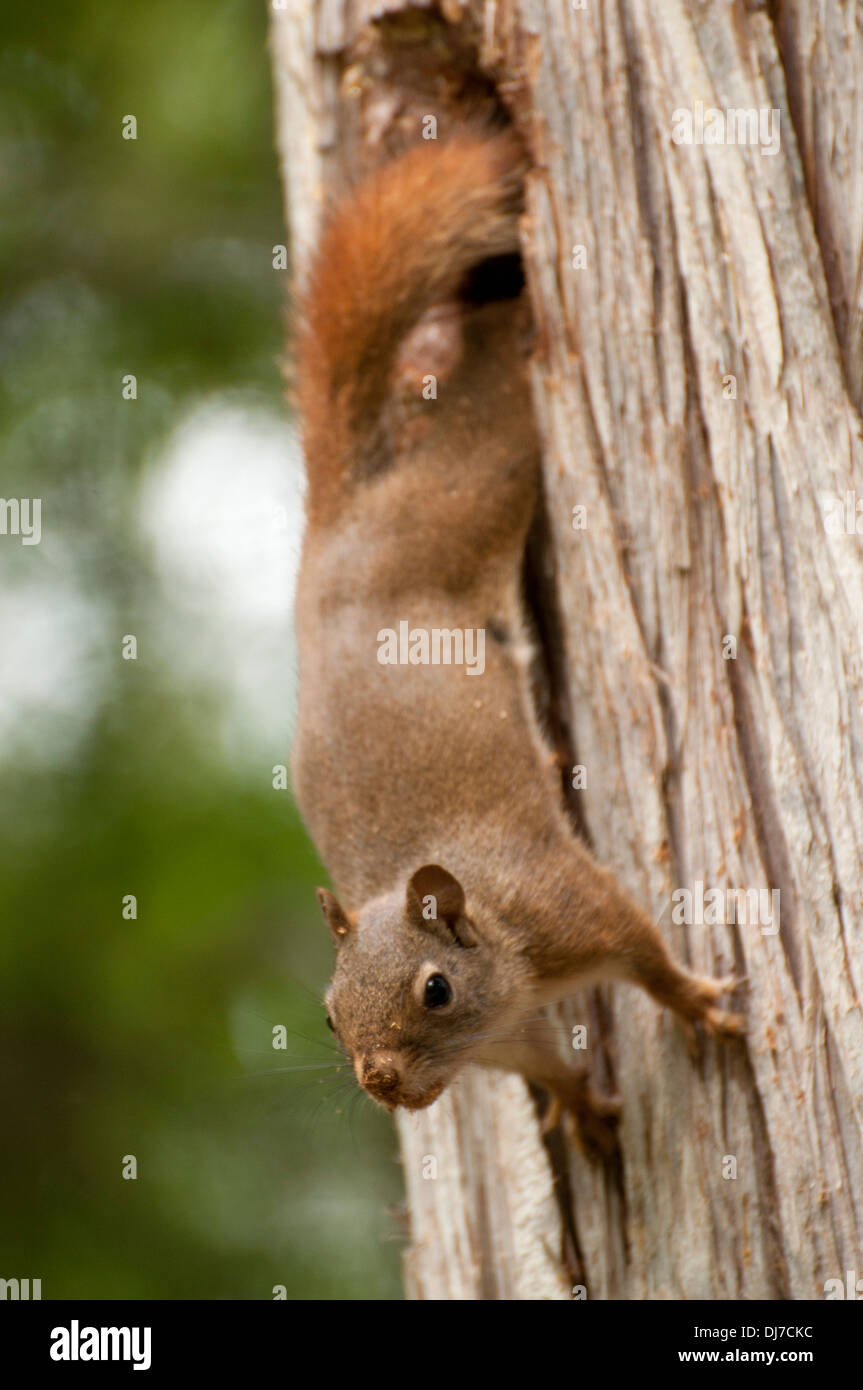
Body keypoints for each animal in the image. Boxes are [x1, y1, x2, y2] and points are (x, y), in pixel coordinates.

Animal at [291, 127, 742, 1152]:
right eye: (328, 1016)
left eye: (434, 989)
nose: (381, 1083)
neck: (498, 948)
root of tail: (335, 527)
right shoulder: (510, 1042)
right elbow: (549, 1067)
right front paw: (579, 1108)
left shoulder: (570, 907)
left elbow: (644, 951)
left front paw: (696, 1002)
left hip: (468, 484)